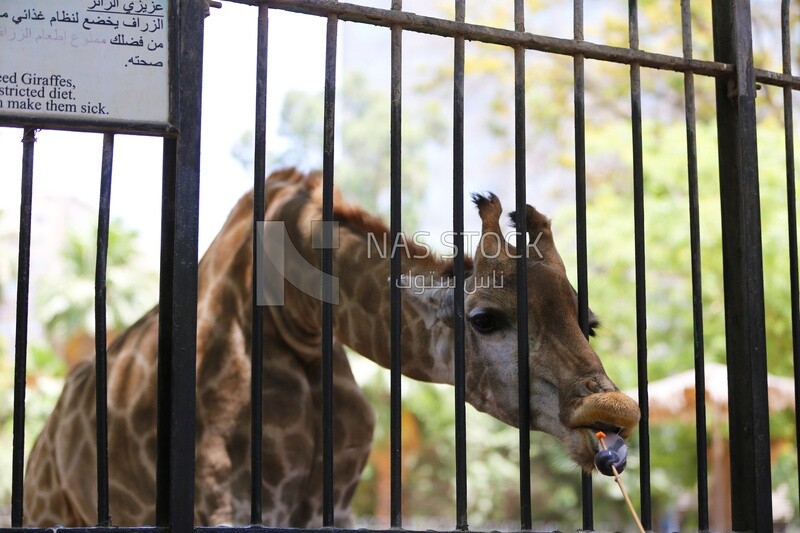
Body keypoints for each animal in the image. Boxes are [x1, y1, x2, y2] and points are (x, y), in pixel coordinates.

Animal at [23, 168, 640, 526]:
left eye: (589, 324)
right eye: (485, 319)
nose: (613, 414)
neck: (294, 315)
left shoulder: (337, 502)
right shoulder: (220, 502)